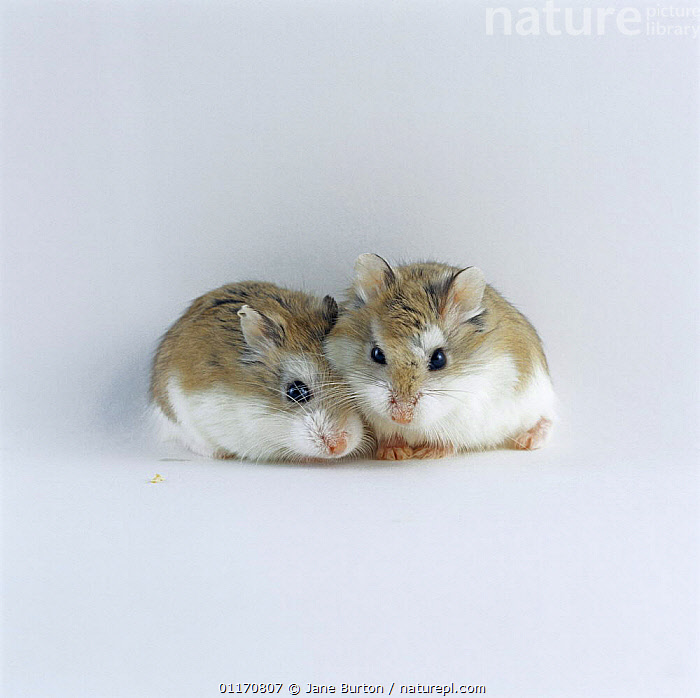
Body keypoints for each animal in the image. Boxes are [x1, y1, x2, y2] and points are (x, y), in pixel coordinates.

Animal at [324, 254, 556, 460]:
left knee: (548, 418)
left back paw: (528, 441)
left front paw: (427, 453)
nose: (402, 417)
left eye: (439, 359)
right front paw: (394, 454)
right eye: (377, 354)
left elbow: (449, 441)